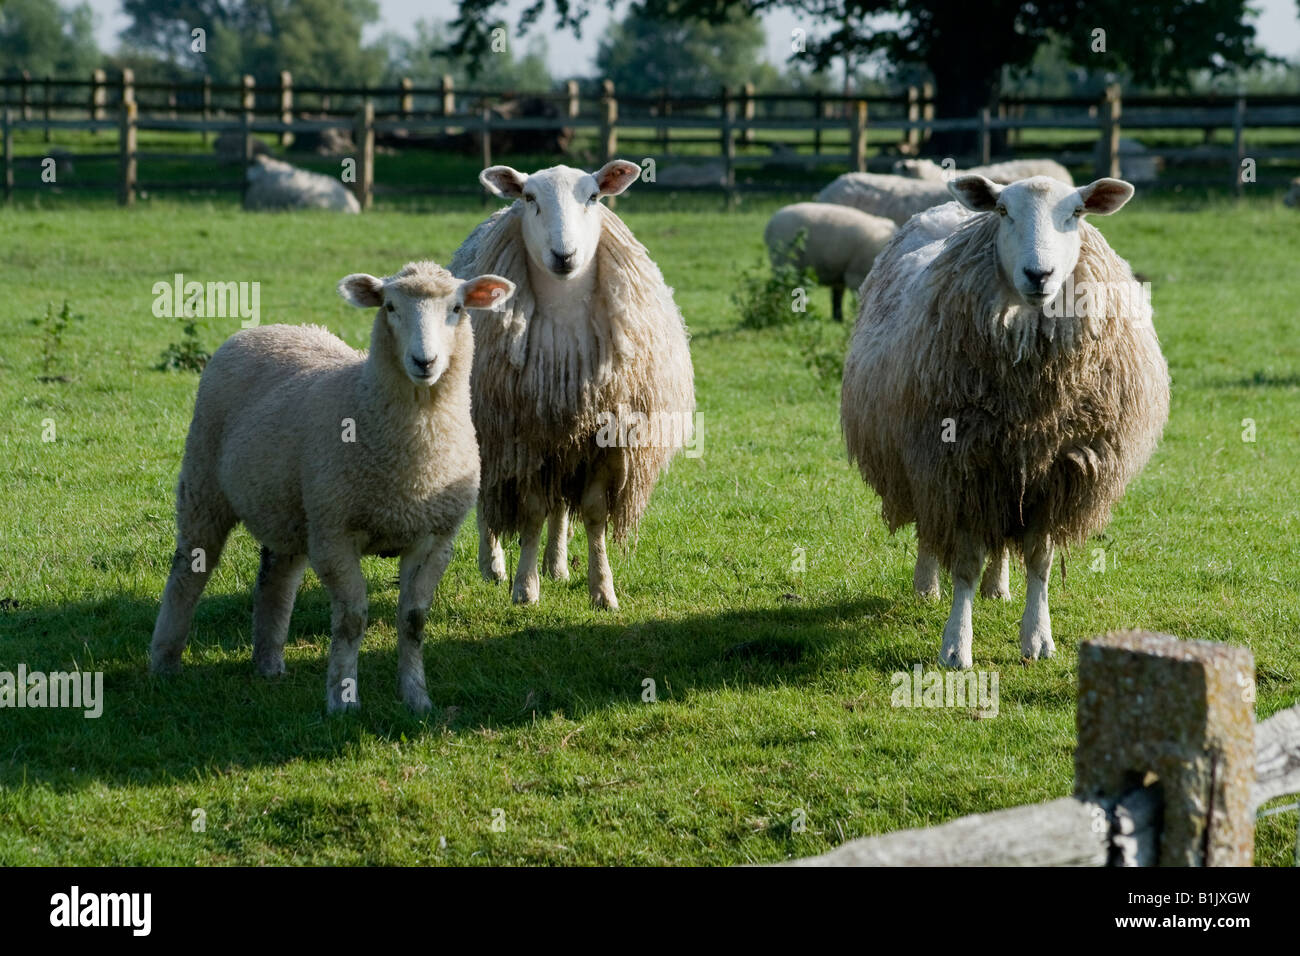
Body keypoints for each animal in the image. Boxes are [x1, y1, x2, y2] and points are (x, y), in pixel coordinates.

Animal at [149, 261, 516, 713]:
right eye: (390, 307)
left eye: (457, 308)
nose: (424, 361)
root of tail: (268, 327)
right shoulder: (335, 535)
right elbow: (351, 619)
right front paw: (343, 699)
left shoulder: (434, 538)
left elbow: (413, 621)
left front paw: (416, 697)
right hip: (204, 484)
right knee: (189, 569)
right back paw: (164, 662)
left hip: (290, 505)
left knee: (276, 576)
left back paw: (268, 662)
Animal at [449, 160, 696, 609]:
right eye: (530, 198)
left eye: (594, 196)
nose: (564, 255)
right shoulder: (523, 436)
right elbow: (531, 510)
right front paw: (524, 588)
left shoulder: (605, 439)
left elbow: (593, 513)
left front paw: (602, 589)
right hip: (489, 427)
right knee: (488, 500)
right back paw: (493, 565)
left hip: (565, 440)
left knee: (559, 507)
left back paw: (557, 564)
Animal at [763, 202, 896, 321]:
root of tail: (771, 224)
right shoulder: (855, 274)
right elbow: (857, 299)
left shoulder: (843, 274)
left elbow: (838, 296)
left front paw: (838, 318)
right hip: (785, 262)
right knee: (785, 288)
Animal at [842, 175, 1169, 669]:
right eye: (1002, 211)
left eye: (1075, 213)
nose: (1039, 275)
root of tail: (947, 209)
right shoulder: (959, 467)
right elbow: (965, 563)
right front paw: (956, 644)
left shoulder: (1056, 474)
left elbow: (1040, 560)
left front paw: (1037, 638)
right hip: (921, 463)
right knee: (928, 527)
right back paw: (926, 586)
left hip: (1005, 476)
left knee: (998, 538)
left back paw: (998, 587)